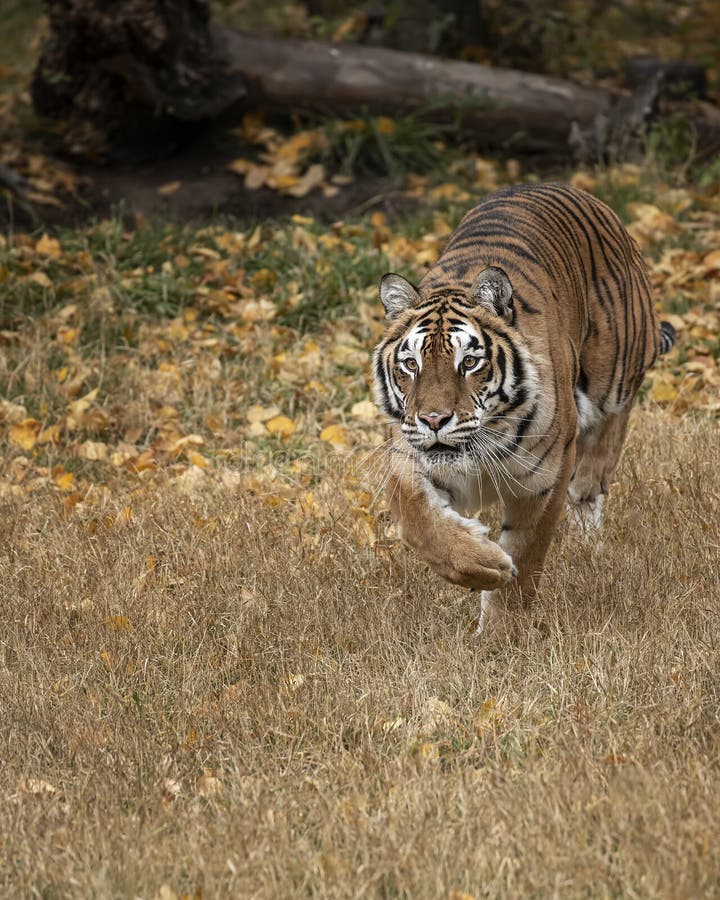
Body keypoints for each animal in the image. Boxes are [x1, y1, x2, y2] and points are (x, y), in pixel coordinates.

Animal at [372, 182, 676, 632]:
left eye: (469, 362)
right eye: (411, 364)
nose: (433, 420)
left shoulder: (545, 478)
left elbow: (526, 555)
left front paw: (501, 633)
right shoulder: (406, 459)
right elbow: (419, 522)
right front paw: (483, 564)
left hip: (615, 378)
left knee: (598, 464)